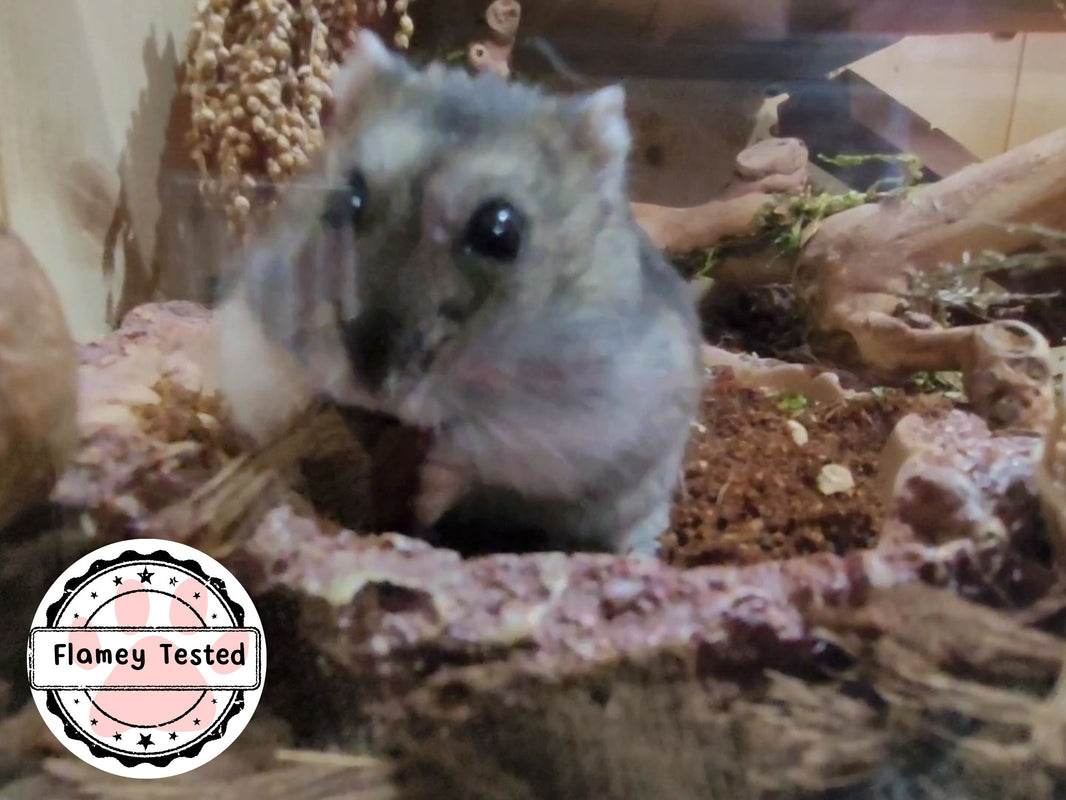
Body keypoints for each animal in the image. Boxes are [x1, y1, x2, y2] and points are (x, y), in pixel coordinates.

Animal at [216, 30, 704, 556]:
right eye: (347, 199)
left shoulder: (574, 419)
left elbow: (473, 453)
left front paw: (428, 495)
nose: (370, 384)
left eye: (500, 232)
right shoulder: (255, 333)